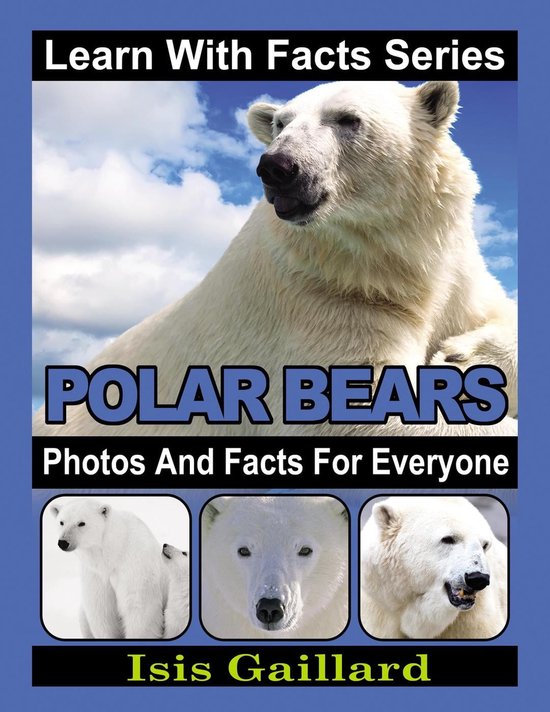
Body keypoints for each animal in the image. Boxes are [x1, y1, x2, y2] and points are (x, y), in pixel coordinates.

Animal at [34, 80, 517, 436]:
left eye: (348, 119)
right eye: (282, 121)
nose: (278, 167)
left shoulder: (459, 277)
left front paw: (467, 356)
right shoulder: (321, 304)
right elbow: (367, 409)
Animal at [49, 498, 173, 639]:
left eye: (81, 523)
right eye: (61, 522)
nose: (63, 542)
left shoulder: (134, 565)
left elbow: (138, 608)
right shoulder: (95, 573)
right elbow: (102, 609)